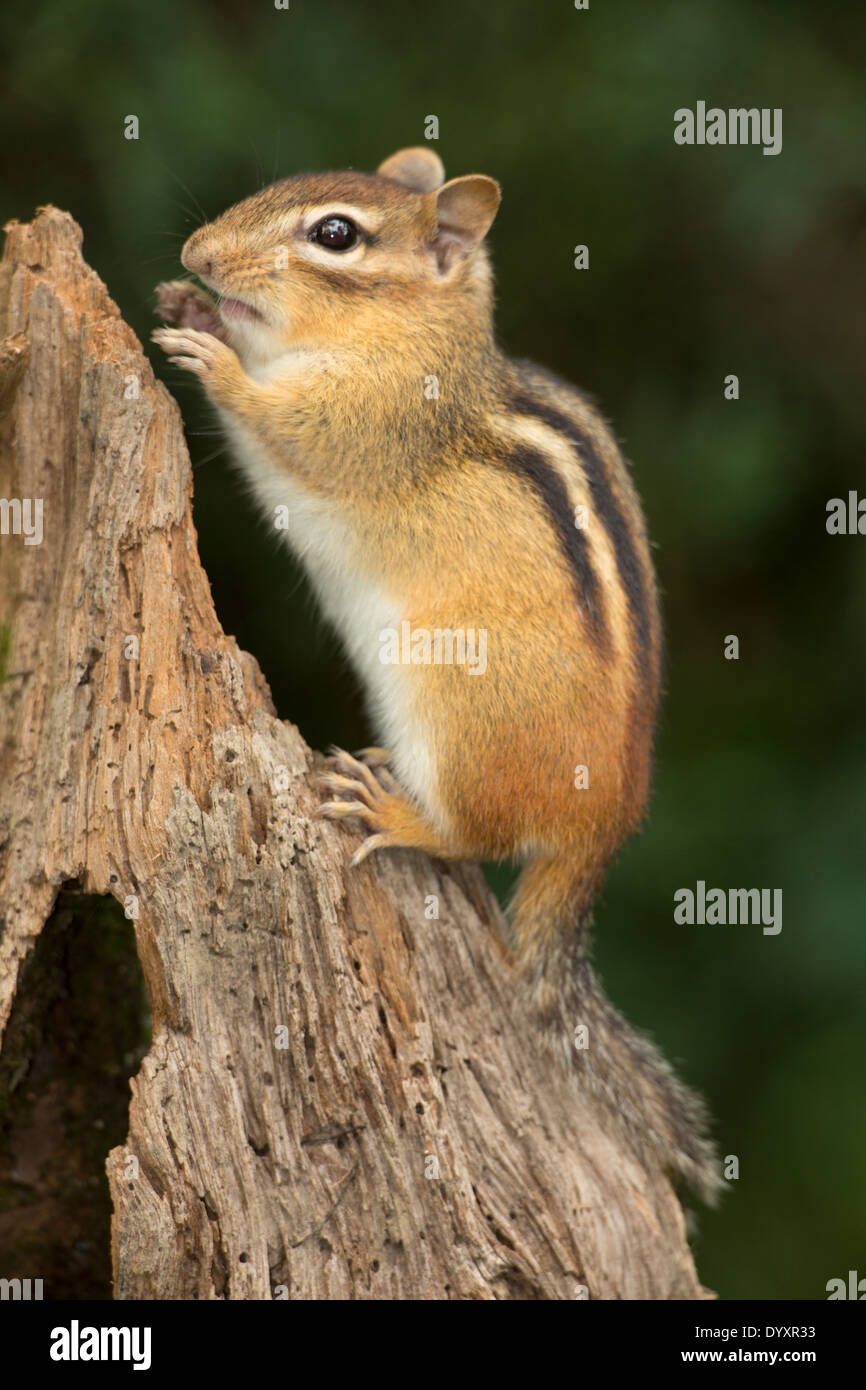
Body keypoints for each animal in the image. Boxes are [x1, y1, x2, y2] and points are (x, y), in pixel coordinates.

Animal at [153, 146, 718, 1202]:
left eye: (335, 234)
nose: (196, 253)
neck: (416, 344)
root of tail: (603, 831)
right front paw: (192, 307)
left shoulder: (370, 423)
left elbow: (287, 434)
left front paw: (218, 360)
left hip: (456, 721)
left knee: (470, 835)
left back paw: (391, 806)